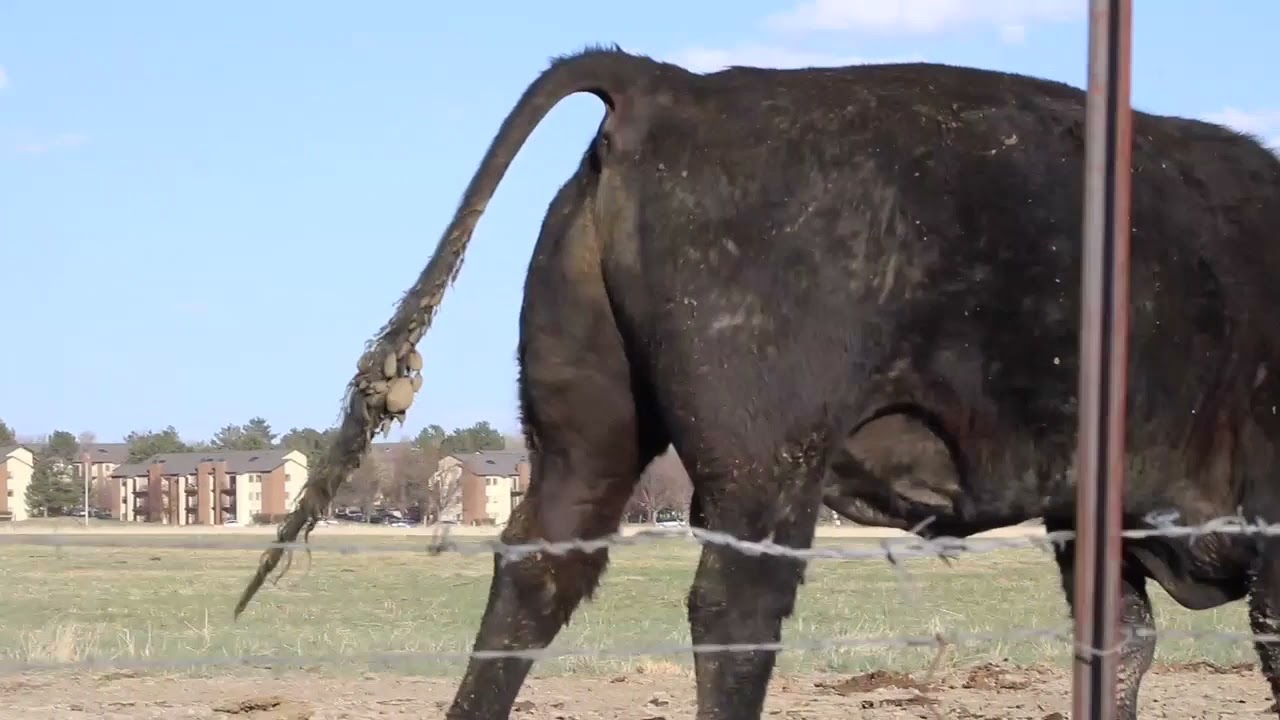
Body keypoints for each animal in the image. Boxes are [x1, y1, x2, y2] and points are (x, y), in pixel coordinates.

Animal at [233, 45, 1280, 719]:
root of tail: (677, 88)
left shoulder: (1096, 526)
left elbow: (1120, 647)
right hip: (767, 464)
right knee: (732, 612)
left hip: (589, 439)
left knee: (537, 576)